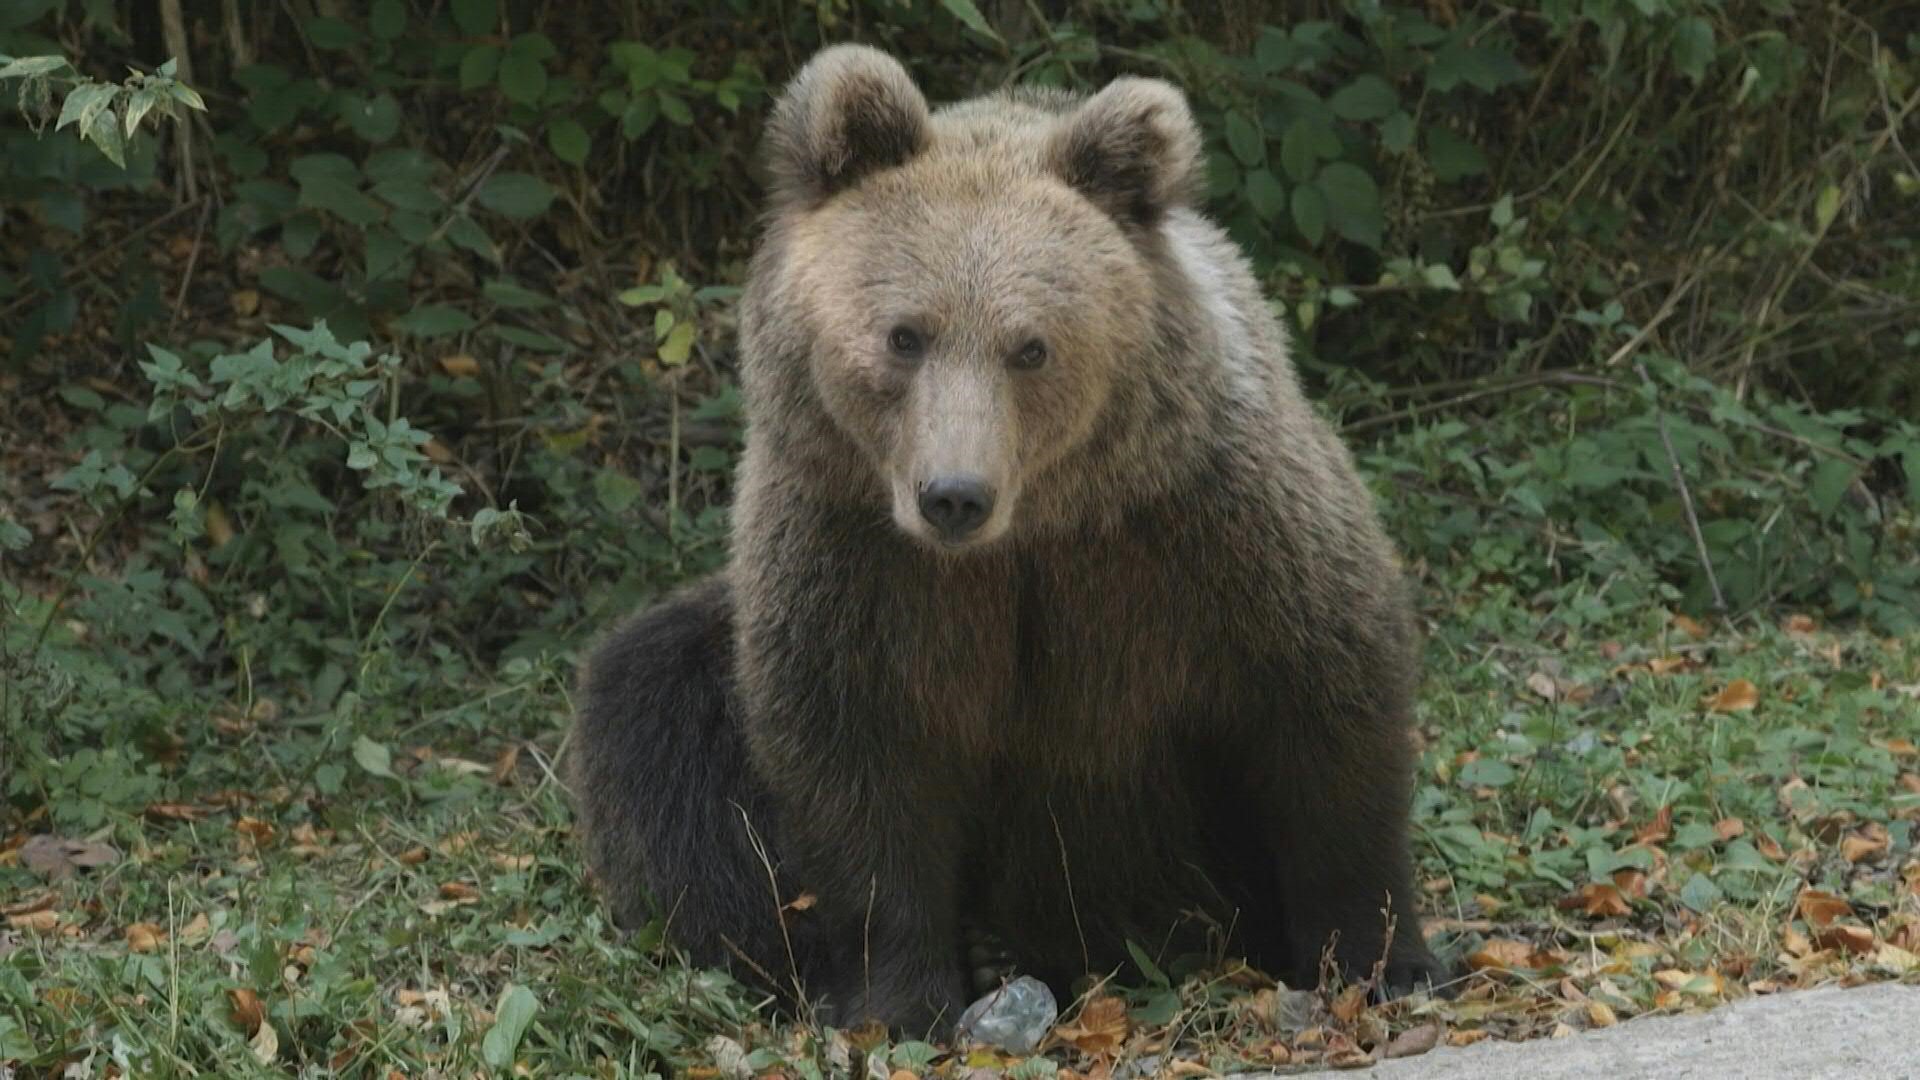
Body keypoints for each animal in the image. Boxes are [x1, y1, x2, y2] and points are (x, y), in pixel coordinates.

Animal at [567, 44, 1448, 1037]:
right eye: (905, 335)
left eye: (1032, 347)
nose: (954, 496)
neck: (1035, 530)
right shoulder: (853, 554)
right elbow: (857, 762)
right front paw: (895, 998)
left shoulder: (1207, 528)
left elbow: (1323, 714)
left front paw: (1384, 960)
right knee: (655, 710)